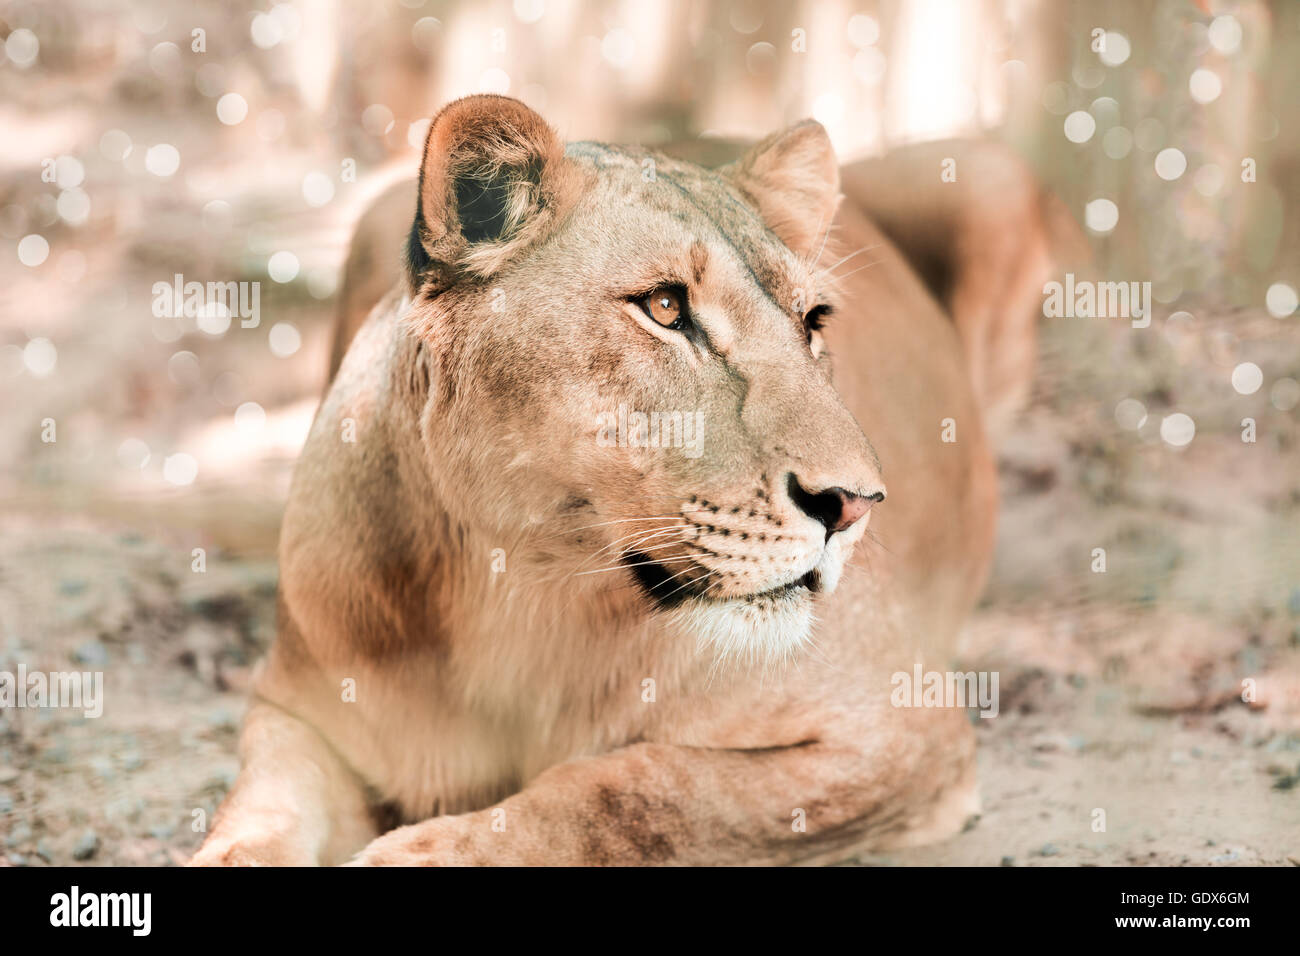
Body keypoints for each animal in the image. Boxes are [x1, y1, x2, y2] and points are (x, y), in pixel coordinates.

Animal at [192, 95, 1068, 866]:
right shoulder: (298, 717)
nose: (854, 506)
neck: (517, 595)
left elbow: (634, 786)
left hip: (987, 173)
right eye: (665, 307)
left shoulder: (901, 728)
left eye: (813, 322)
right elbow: (252, 819)